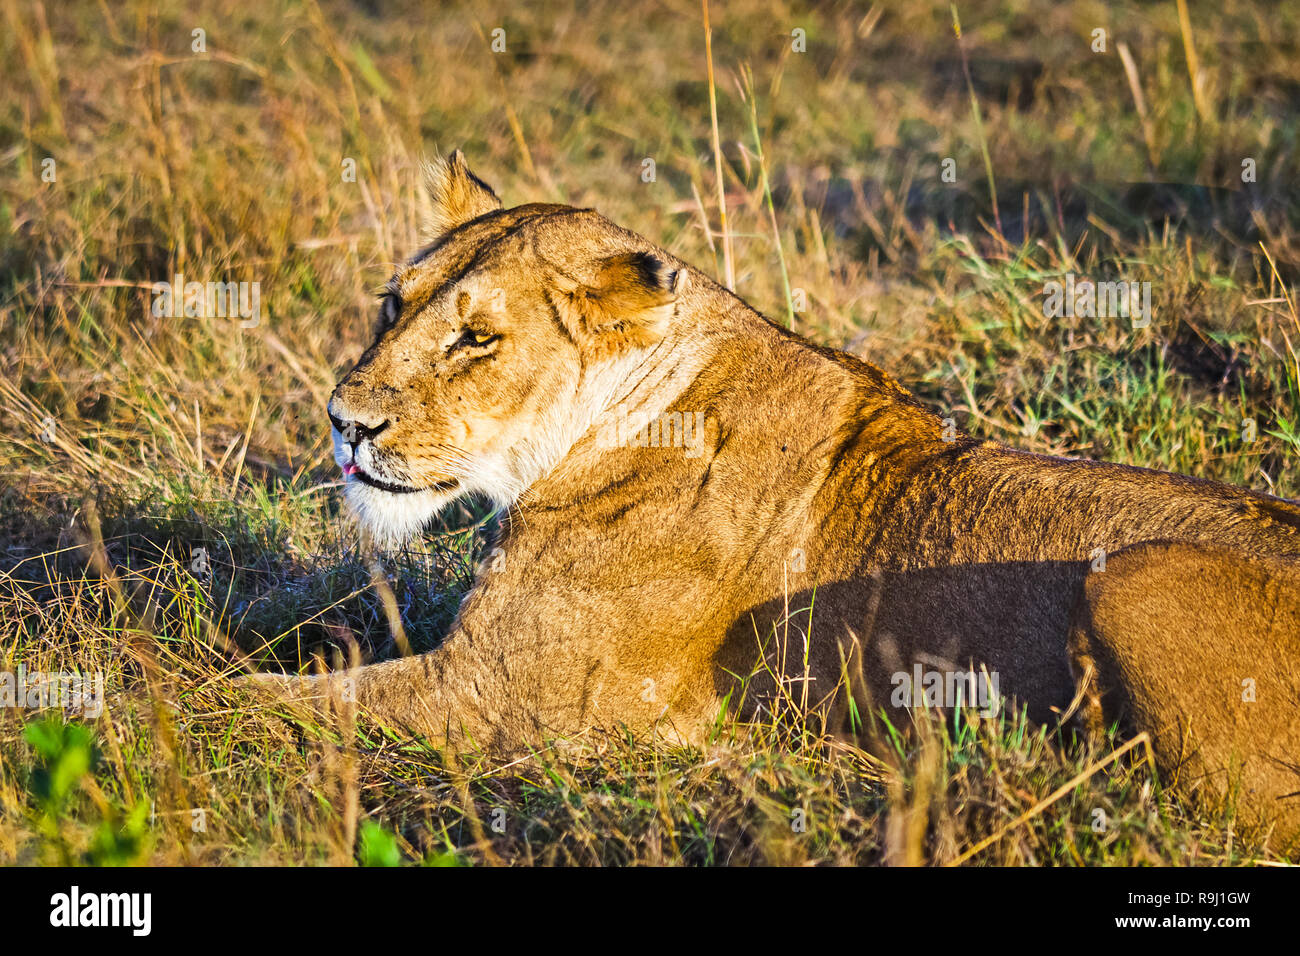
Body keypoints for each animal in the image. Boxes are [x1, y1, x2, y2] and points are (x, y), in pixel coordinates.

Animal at [252, 152, 1300, 841]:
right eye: (394, 304)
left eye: (478, 339)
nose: (345, 422)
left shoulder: (494, 698)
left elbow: (261, 698)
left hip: (1138, 575)